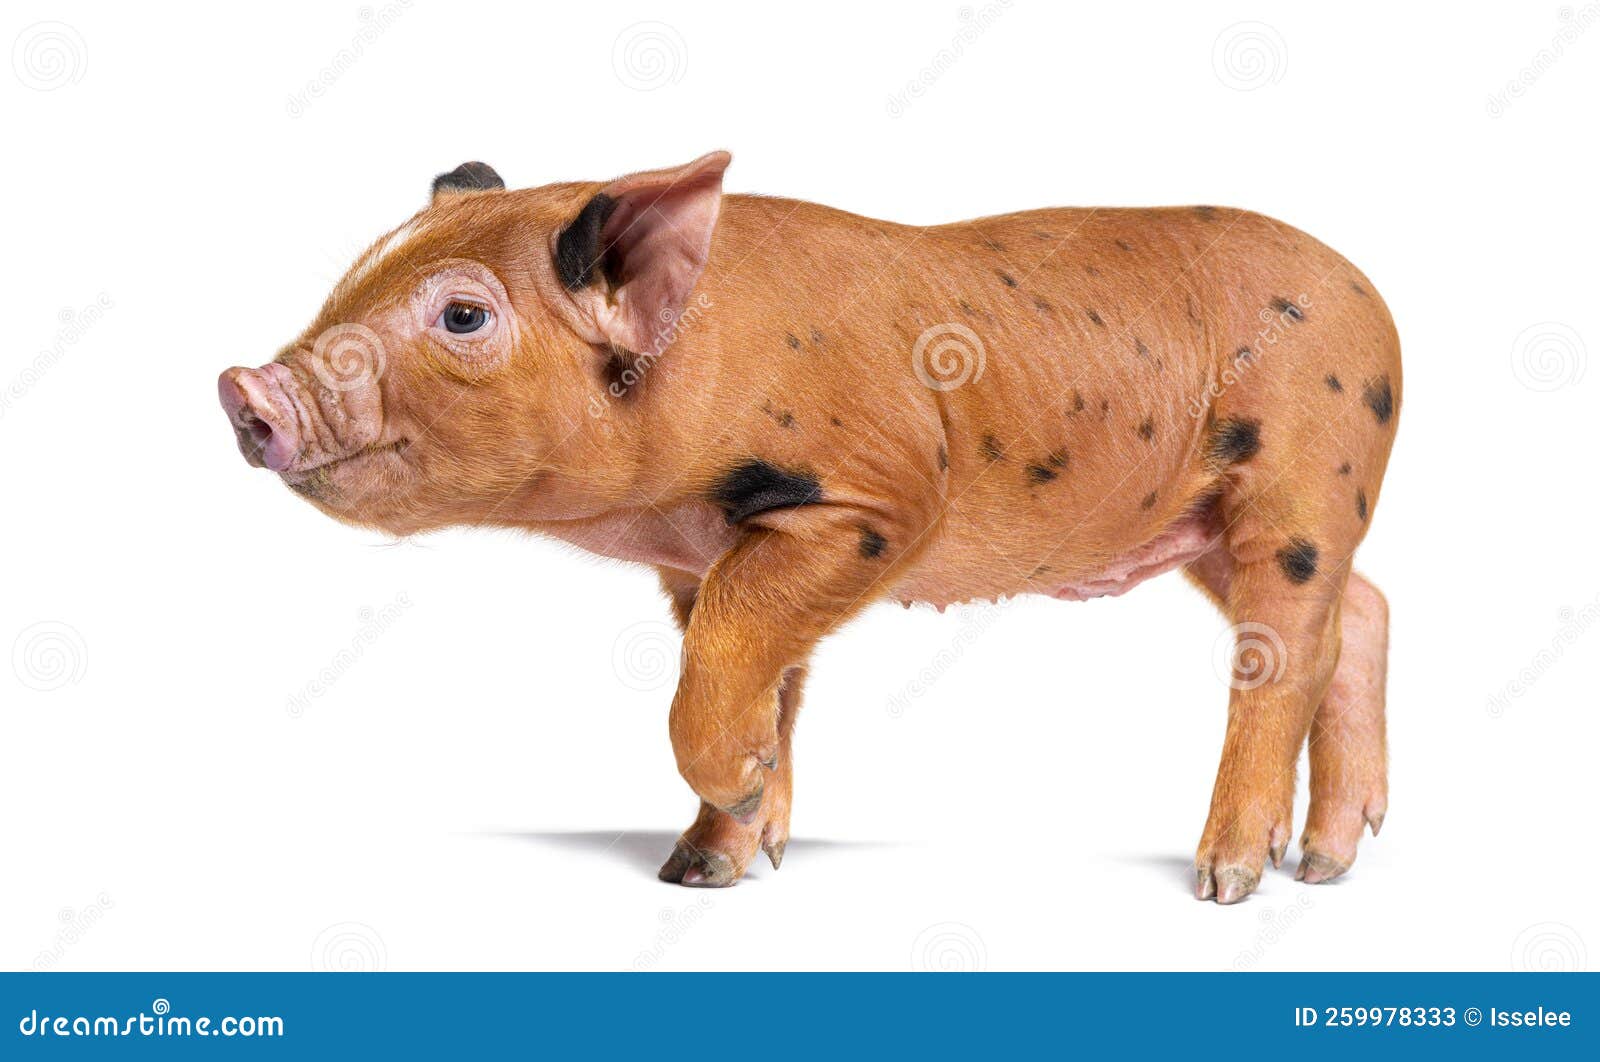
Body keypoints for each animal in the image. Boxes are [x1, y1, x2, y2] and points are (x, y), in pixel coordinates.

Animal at [219, 152, 1399, 903]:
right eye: (356, 271)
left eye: (462, 315)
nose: (243, 387)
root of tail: (1370, 295)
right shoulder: (701, 559)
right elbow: (757, 673)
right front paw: (704, 868)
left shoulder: (880, 497)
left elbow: (721, 665)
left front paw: (736, 795)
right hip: (1210, 529)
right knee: (1364, 611)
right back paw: (1330, 866)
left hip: (1305, 476)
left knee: (1286, 652)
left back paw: (1231, 883)